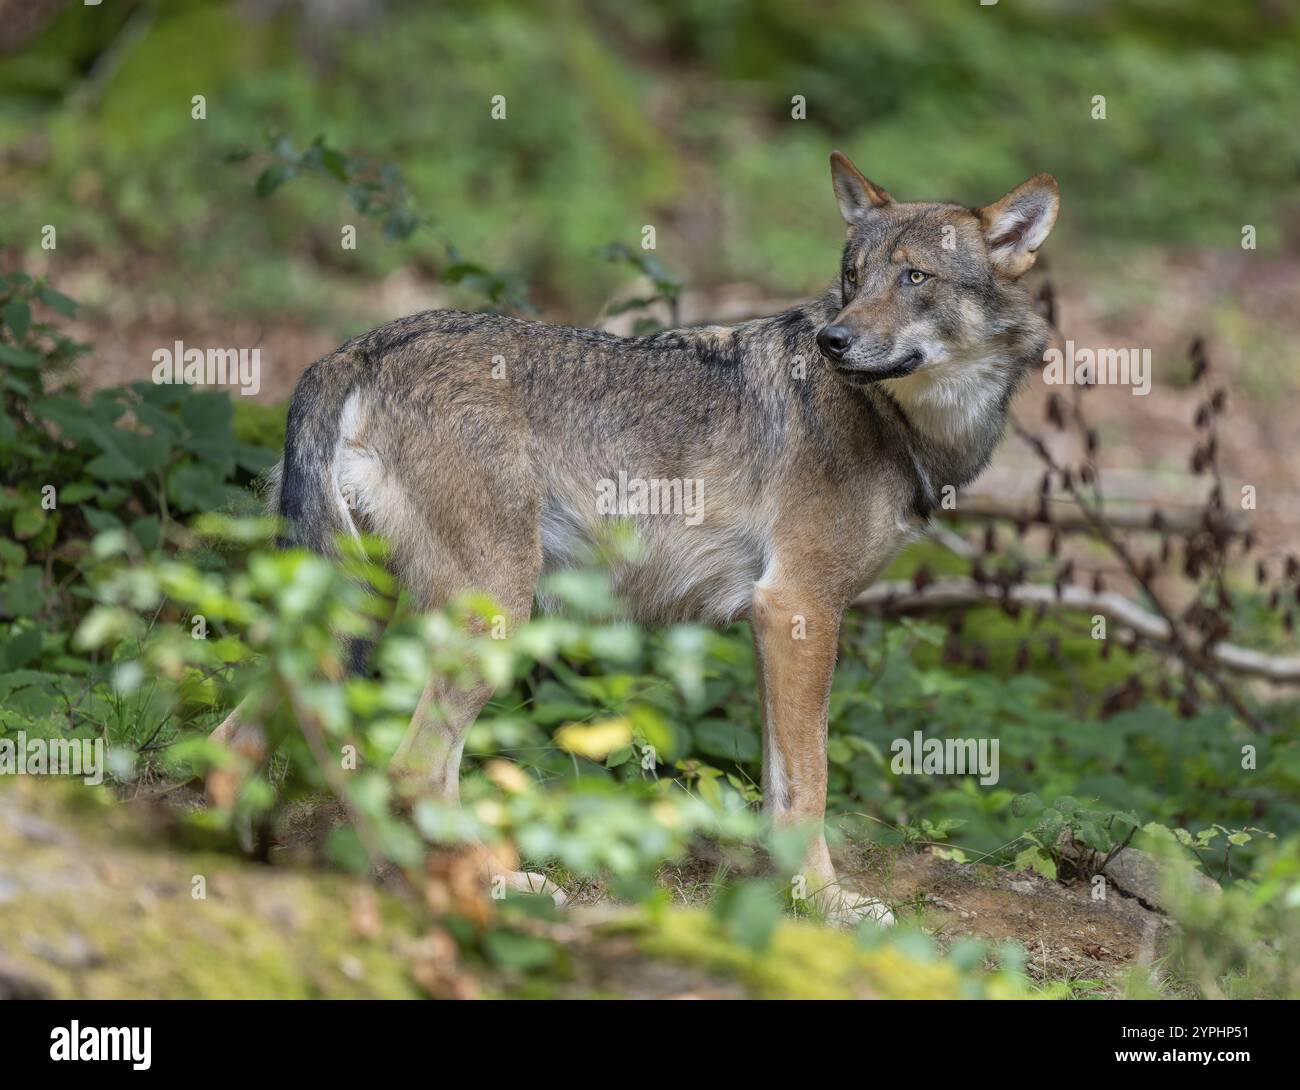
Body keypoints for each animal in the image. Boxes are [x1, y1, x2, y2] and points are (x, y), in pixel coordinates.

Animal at [212, 151, 1059, 923]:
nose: (834, 340)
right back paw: (473, 890)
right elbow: (810, 787)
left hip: (358, 608)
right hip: (493, 616)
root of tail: (354, 348)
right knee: (411, 769)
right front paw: (827, 904)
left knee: (246, 736)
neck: (900, 422)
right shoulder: (800, 607)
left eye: (913, 277)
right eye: (854, 277)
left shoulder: (773, 623)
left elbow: (779, 785)